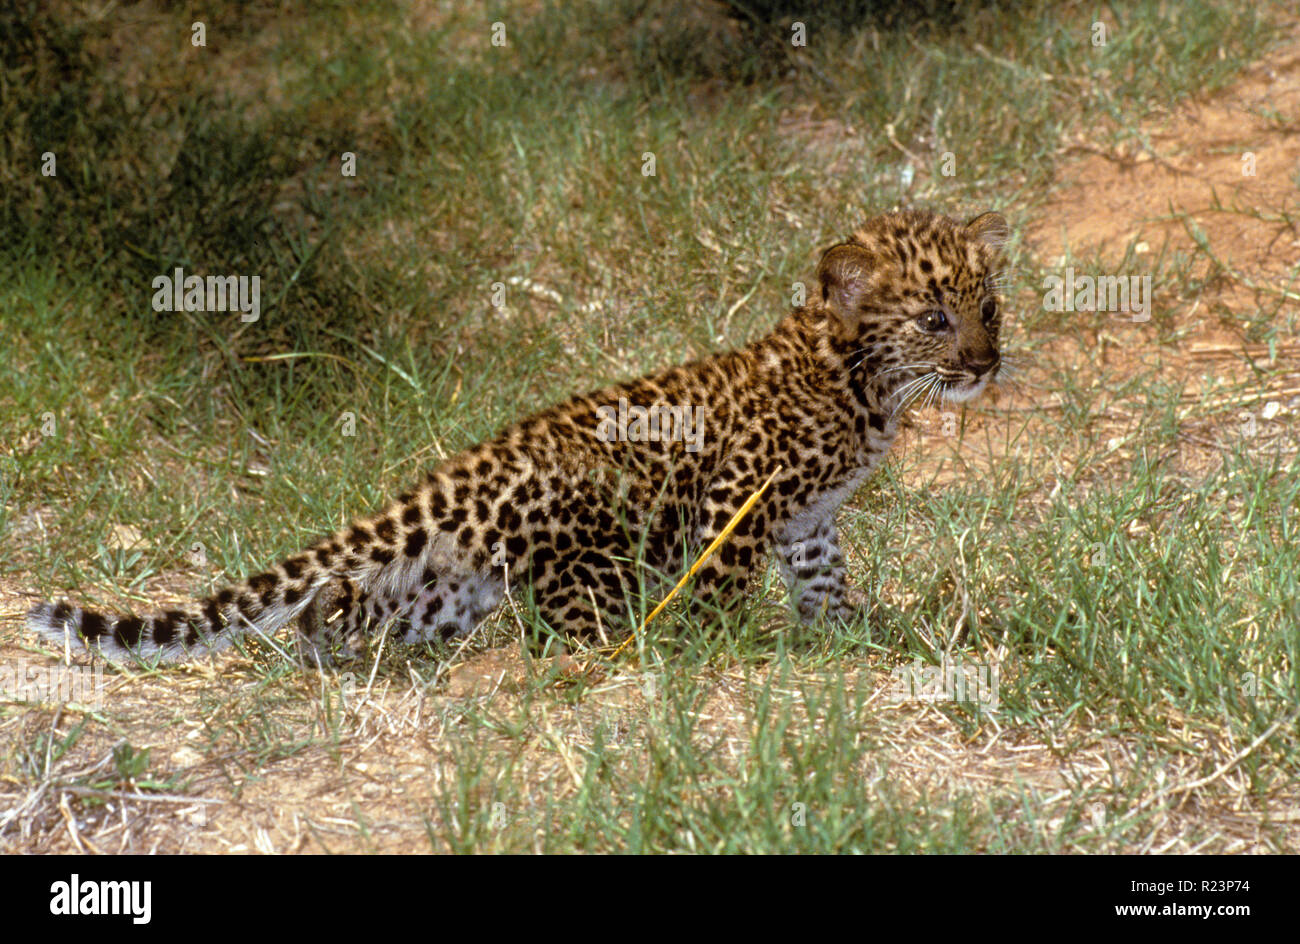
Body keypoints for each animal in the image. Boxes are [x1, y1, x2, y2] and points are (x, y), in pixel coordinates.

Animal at [27, 208, 1009, 666]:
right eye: (932, 317)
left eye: (989, 308)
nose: (985, 360)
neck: (864, 386)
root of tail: (464, 472)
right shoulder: (742, 495)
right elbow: (722, 585)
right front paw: (724, 648)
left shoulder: (811, 520)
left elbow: (825, 579)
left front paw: (844, 633)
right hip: (594, 541)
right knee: (567, 622)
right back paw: (620, 650)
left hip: (448, 587)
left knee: (366, 615)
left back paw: (320, 643)